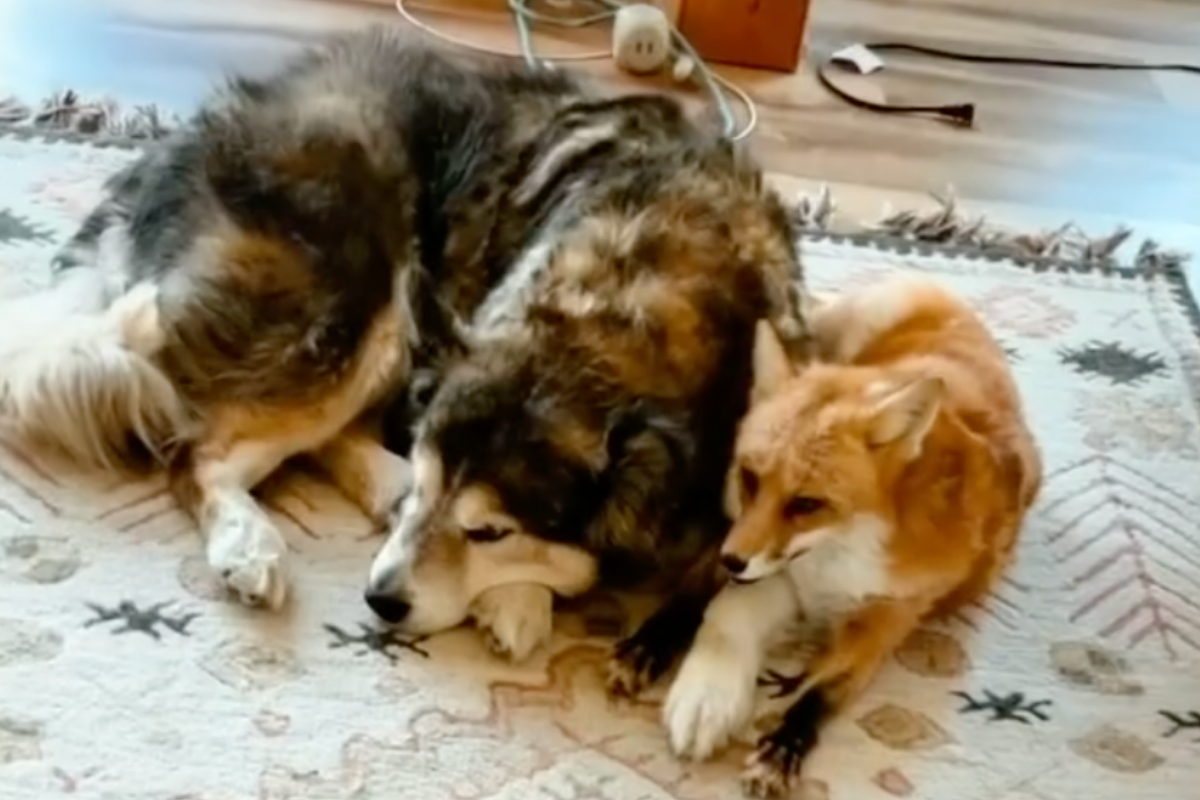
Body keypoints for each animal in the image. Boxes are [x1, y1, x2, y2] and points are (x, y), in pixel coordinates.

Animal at [658, 273, 1043, 798]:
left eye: (806, 505)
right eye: (750, 478)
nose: (732, 561)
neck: (842, 554)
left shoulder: (888, 616)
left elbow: (822, 691)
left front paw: (784, 746)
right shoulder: (778, 571)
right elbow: (713, 612)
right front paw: (663, 645)